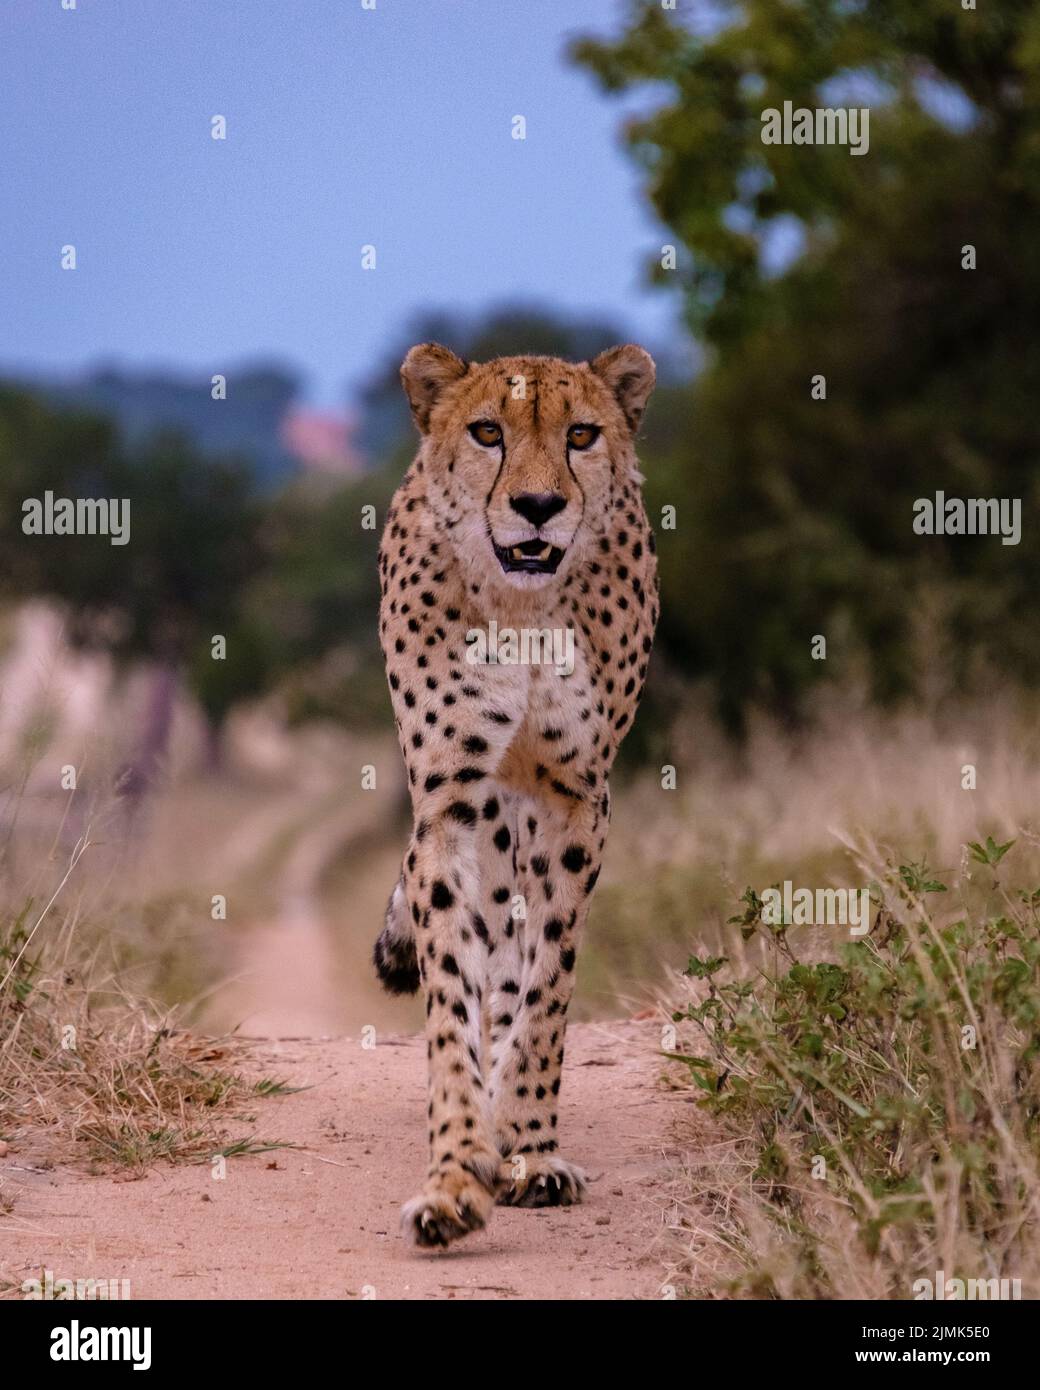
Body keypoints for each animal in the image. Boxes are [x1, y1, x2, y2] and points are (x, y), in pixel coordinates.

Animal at [373, 340, 659, 1248]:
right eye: (488, 432)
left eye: (581, 434)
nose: (538, 506)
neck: (524, 612)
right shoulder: (452, 802)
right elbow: (452, 1001)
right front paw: (456, 1176)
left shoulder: (577, 799)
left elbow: (547, 991)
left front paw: (529, 1149)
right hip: (495, 815)